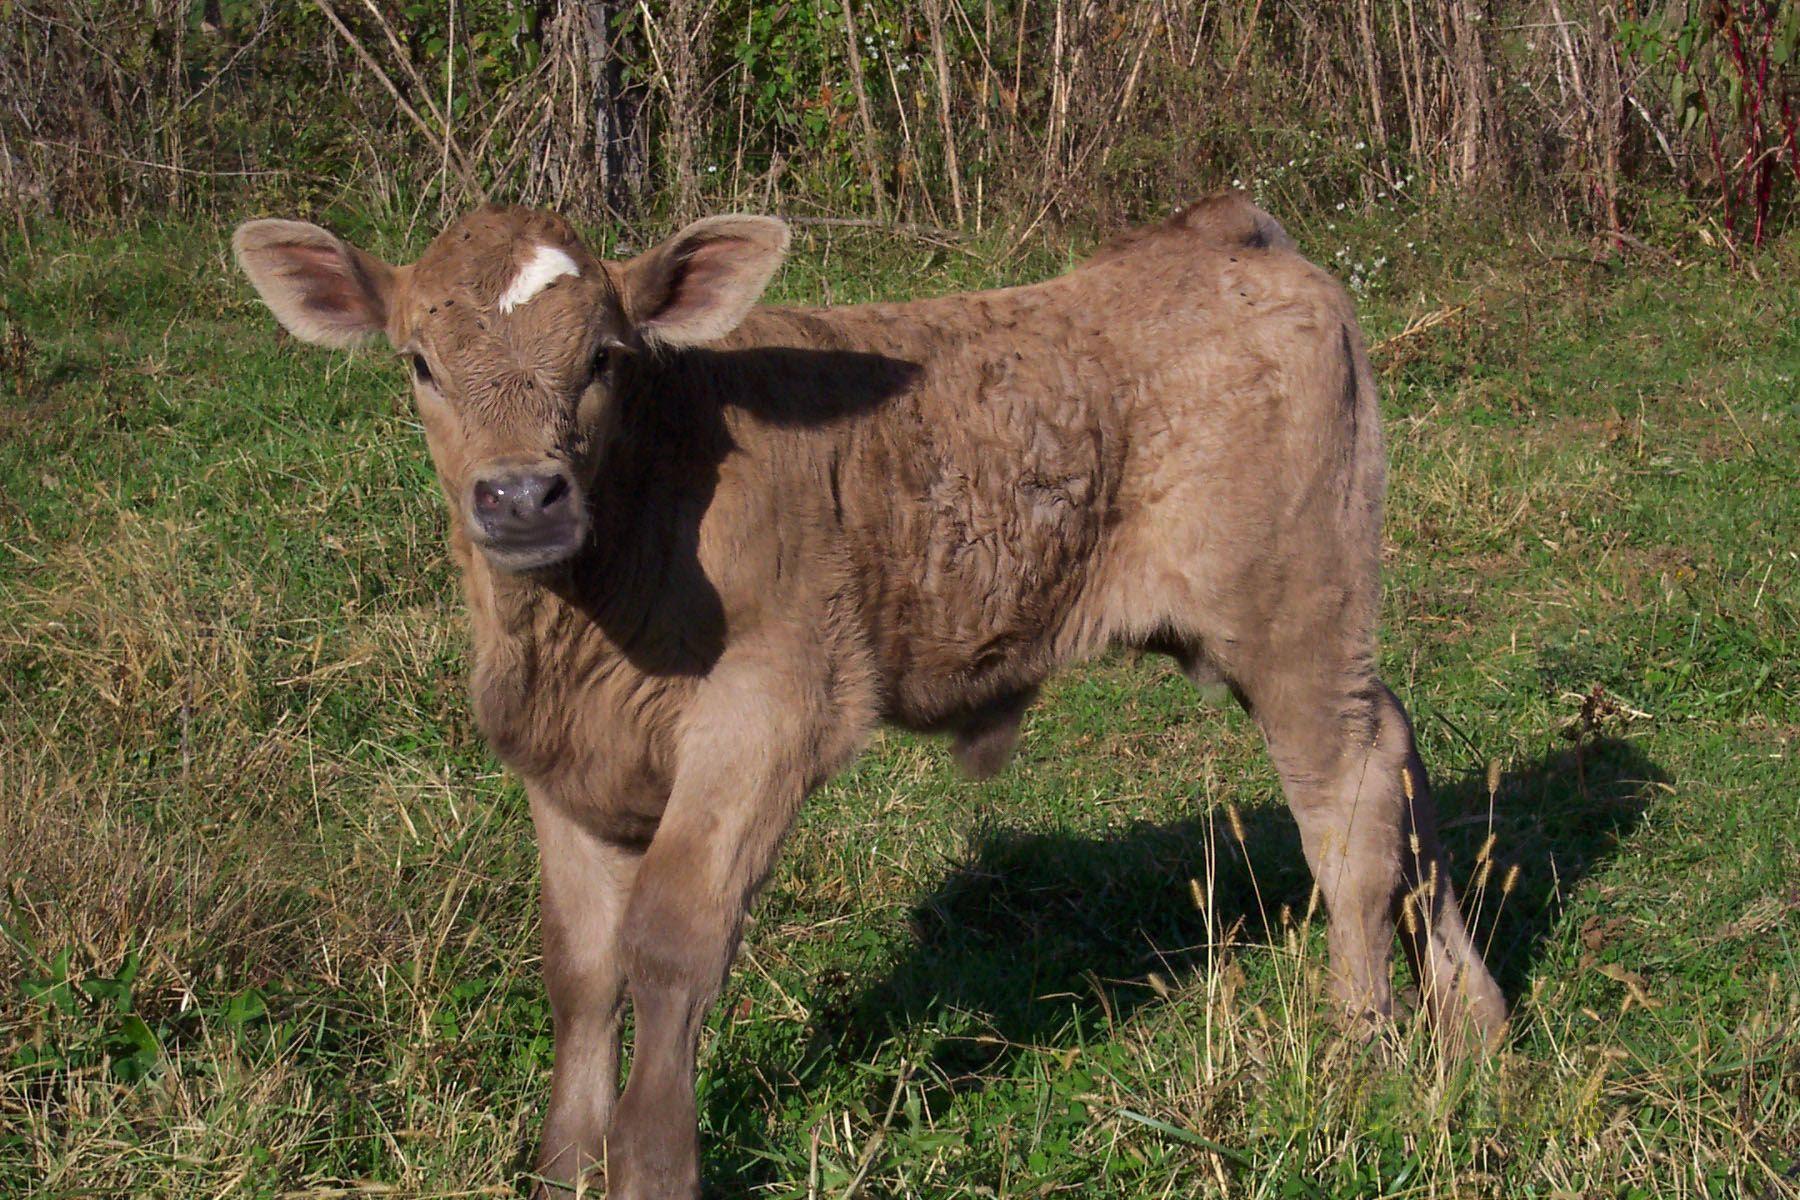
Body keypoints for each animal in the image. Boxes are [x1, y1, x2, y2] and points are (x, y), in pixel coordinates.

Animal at [232, 193, 1508, 1198]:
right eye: (419, 364)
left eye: (602, 358)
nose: (520, 497)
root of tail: (1222, 230)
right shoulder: (565, 763)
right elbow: (579, 966)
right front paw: (564, 1167)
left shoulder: (767, 715)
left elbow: (674, 943)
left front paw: (652, 1166)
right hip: (1298, 627)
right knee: (1398, 751)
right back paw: (1472, 1015)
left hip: (1296, 606)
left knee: (1345, 807)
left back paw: (1364, 1047)